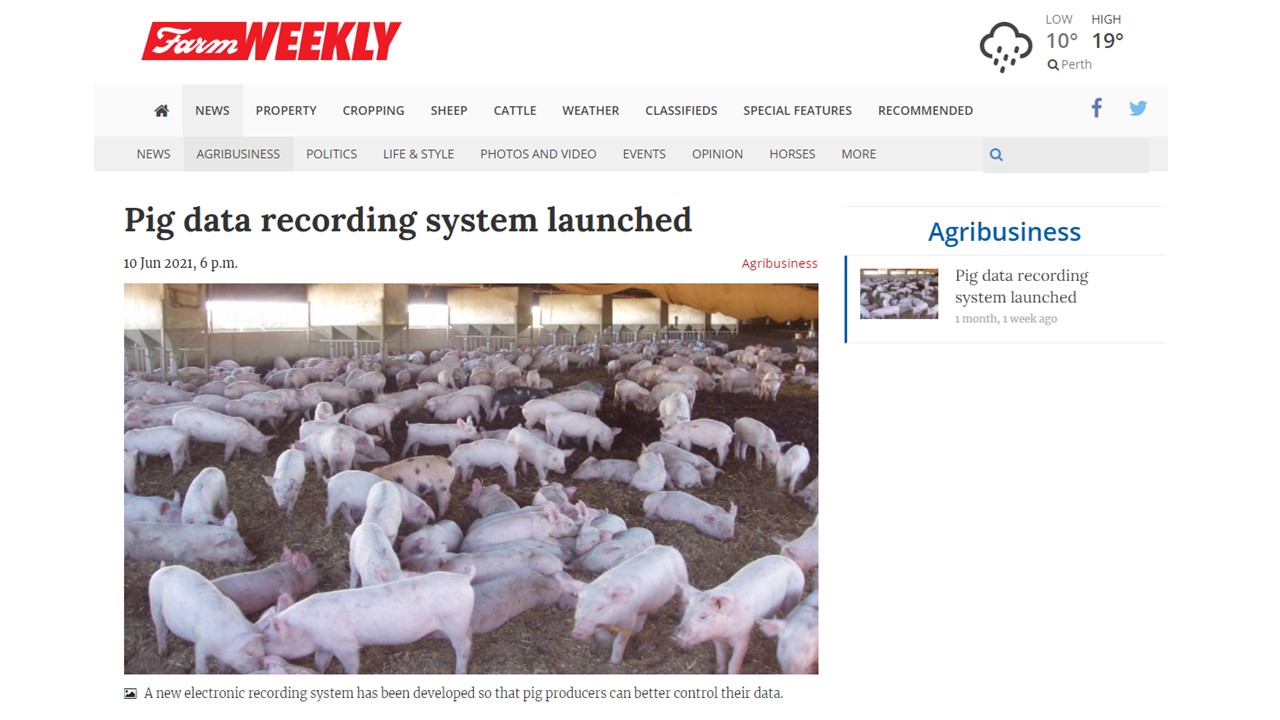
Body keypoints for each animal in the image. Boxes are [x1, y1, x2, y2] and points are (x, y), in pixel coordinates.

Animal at [260, 571, 475, 674]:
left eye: (268, 639)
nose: (260, 656)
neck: (306, 629)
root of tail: (464, 578)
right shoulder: (326, 645)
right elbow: (320, 661)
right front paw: (319, 671)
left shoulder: (345, 645)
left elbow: (351, 664)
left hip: (454, 622)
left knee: (464, 646)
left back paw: (458, 672)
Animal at [673, 554, 805, 674]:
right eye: (687, 611)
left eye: (703, 616)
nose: (674, 637)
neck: (725, 633)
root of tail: (791, 561)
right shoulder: (718, 639)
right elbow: (720, 658)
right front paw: (718, 672)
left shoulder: (743, 638)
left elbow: (734, 663)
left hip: (794, 595)